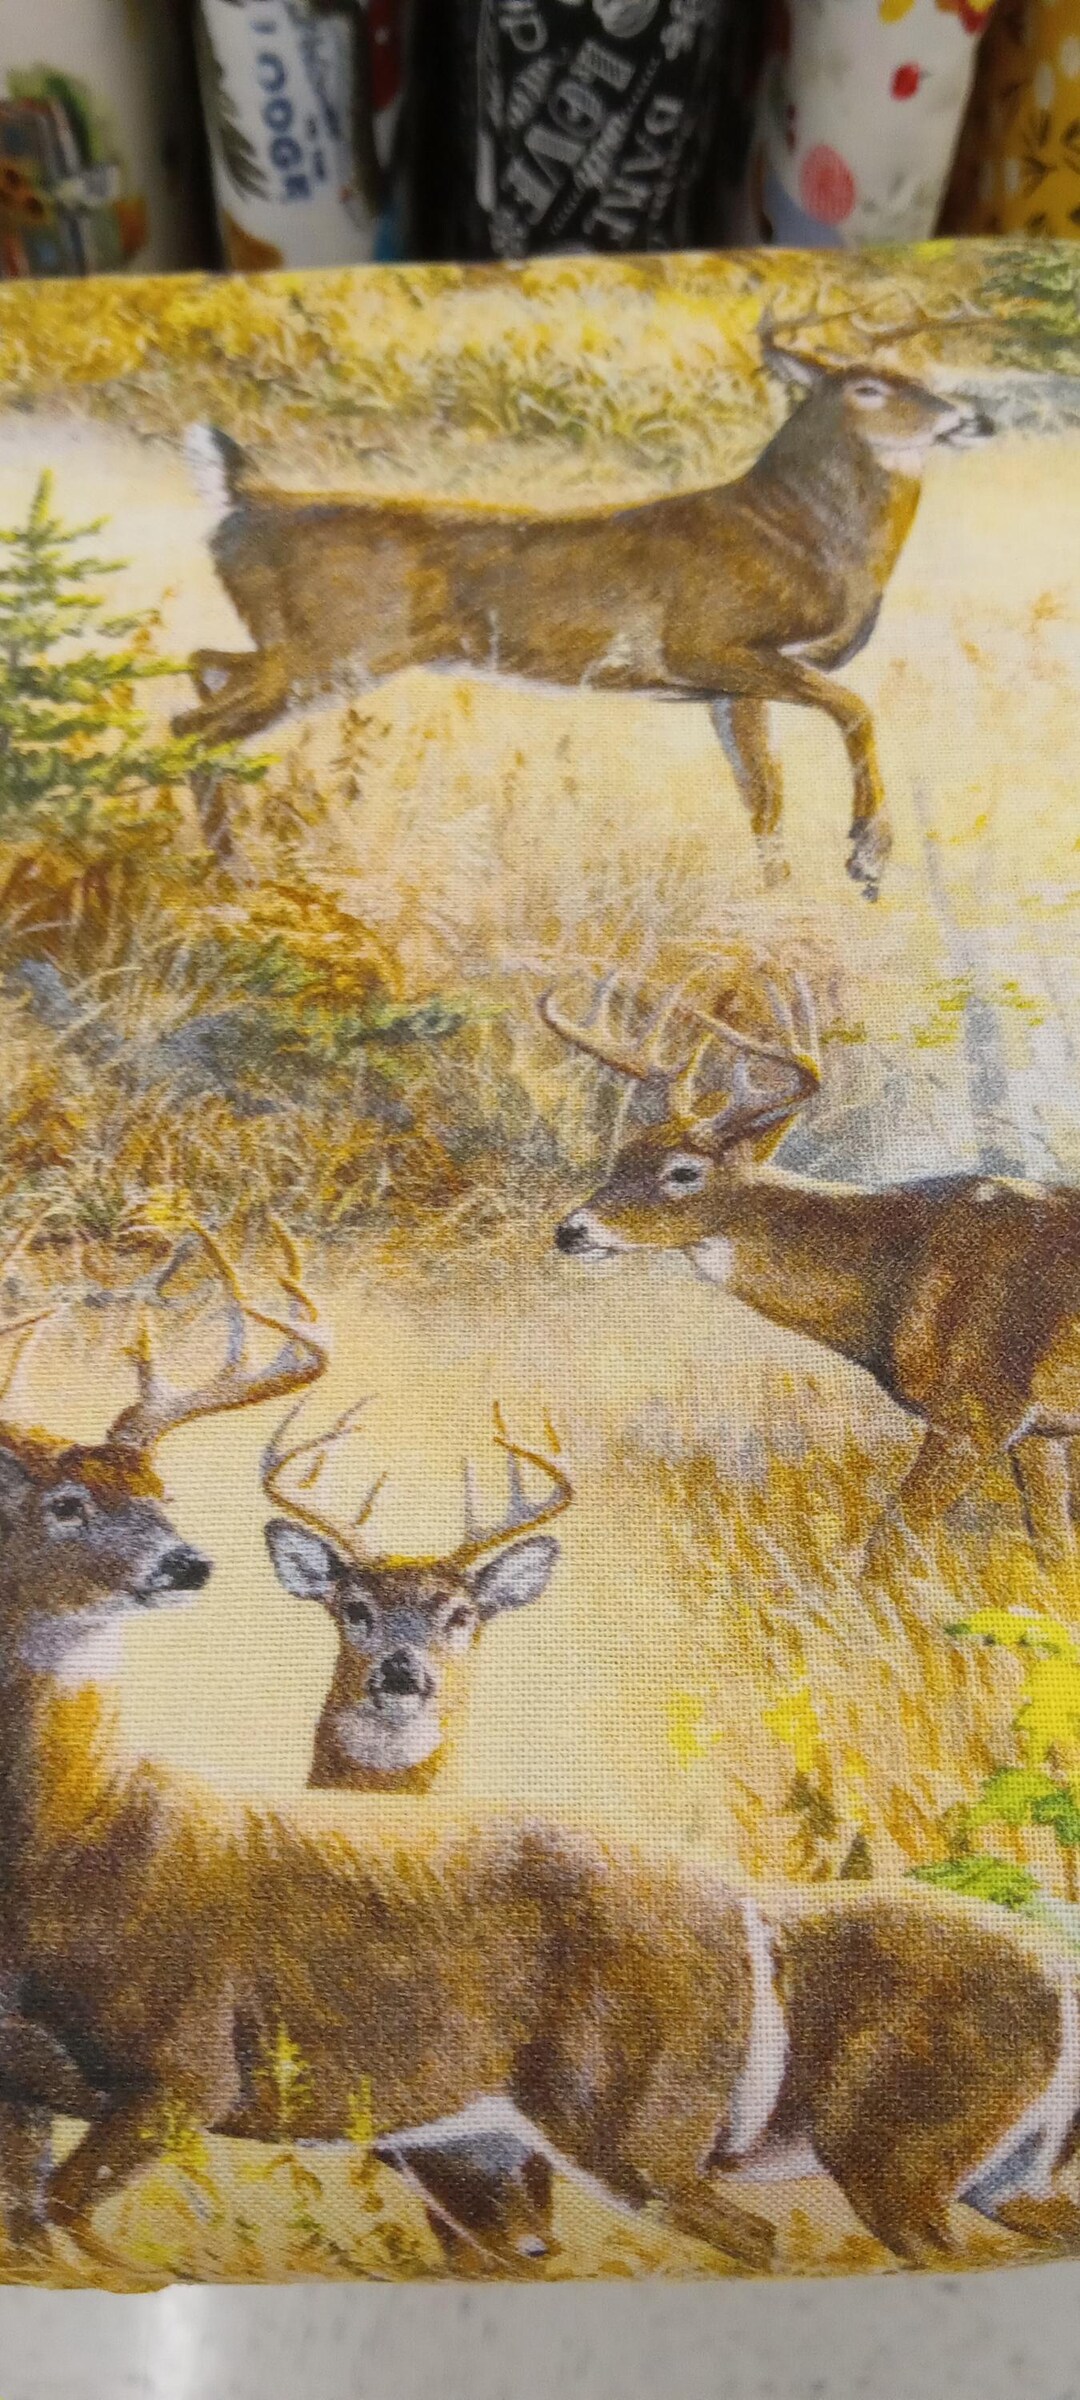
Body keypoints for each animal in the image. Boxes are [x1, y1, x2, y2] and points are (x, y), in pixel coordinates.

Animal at [174, 302, 993, 900]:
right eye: (866, 387)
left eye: (921, 373)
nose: (973, 419)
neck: (801, 536)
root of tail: (244, 503)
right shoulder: (708, 643)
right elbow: (855, 710)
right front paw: (867, 857)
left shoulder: (728, 689)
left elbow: (765, 794)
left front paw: (782, 902)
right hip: (335, 648)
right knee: (194, 725)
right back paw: (234, 877)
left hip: (302, 649)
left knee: (204, 664)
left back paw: (228, 864)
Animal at [542, 974, 1080, 1578]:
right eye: (621, 1157)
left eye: (683, 1172)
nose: (571, 1231)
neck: (904, 1271)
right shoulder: (1040, 1430)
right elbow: (1055, 1552)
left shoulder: (979, 1409)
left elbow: (884, 1553)